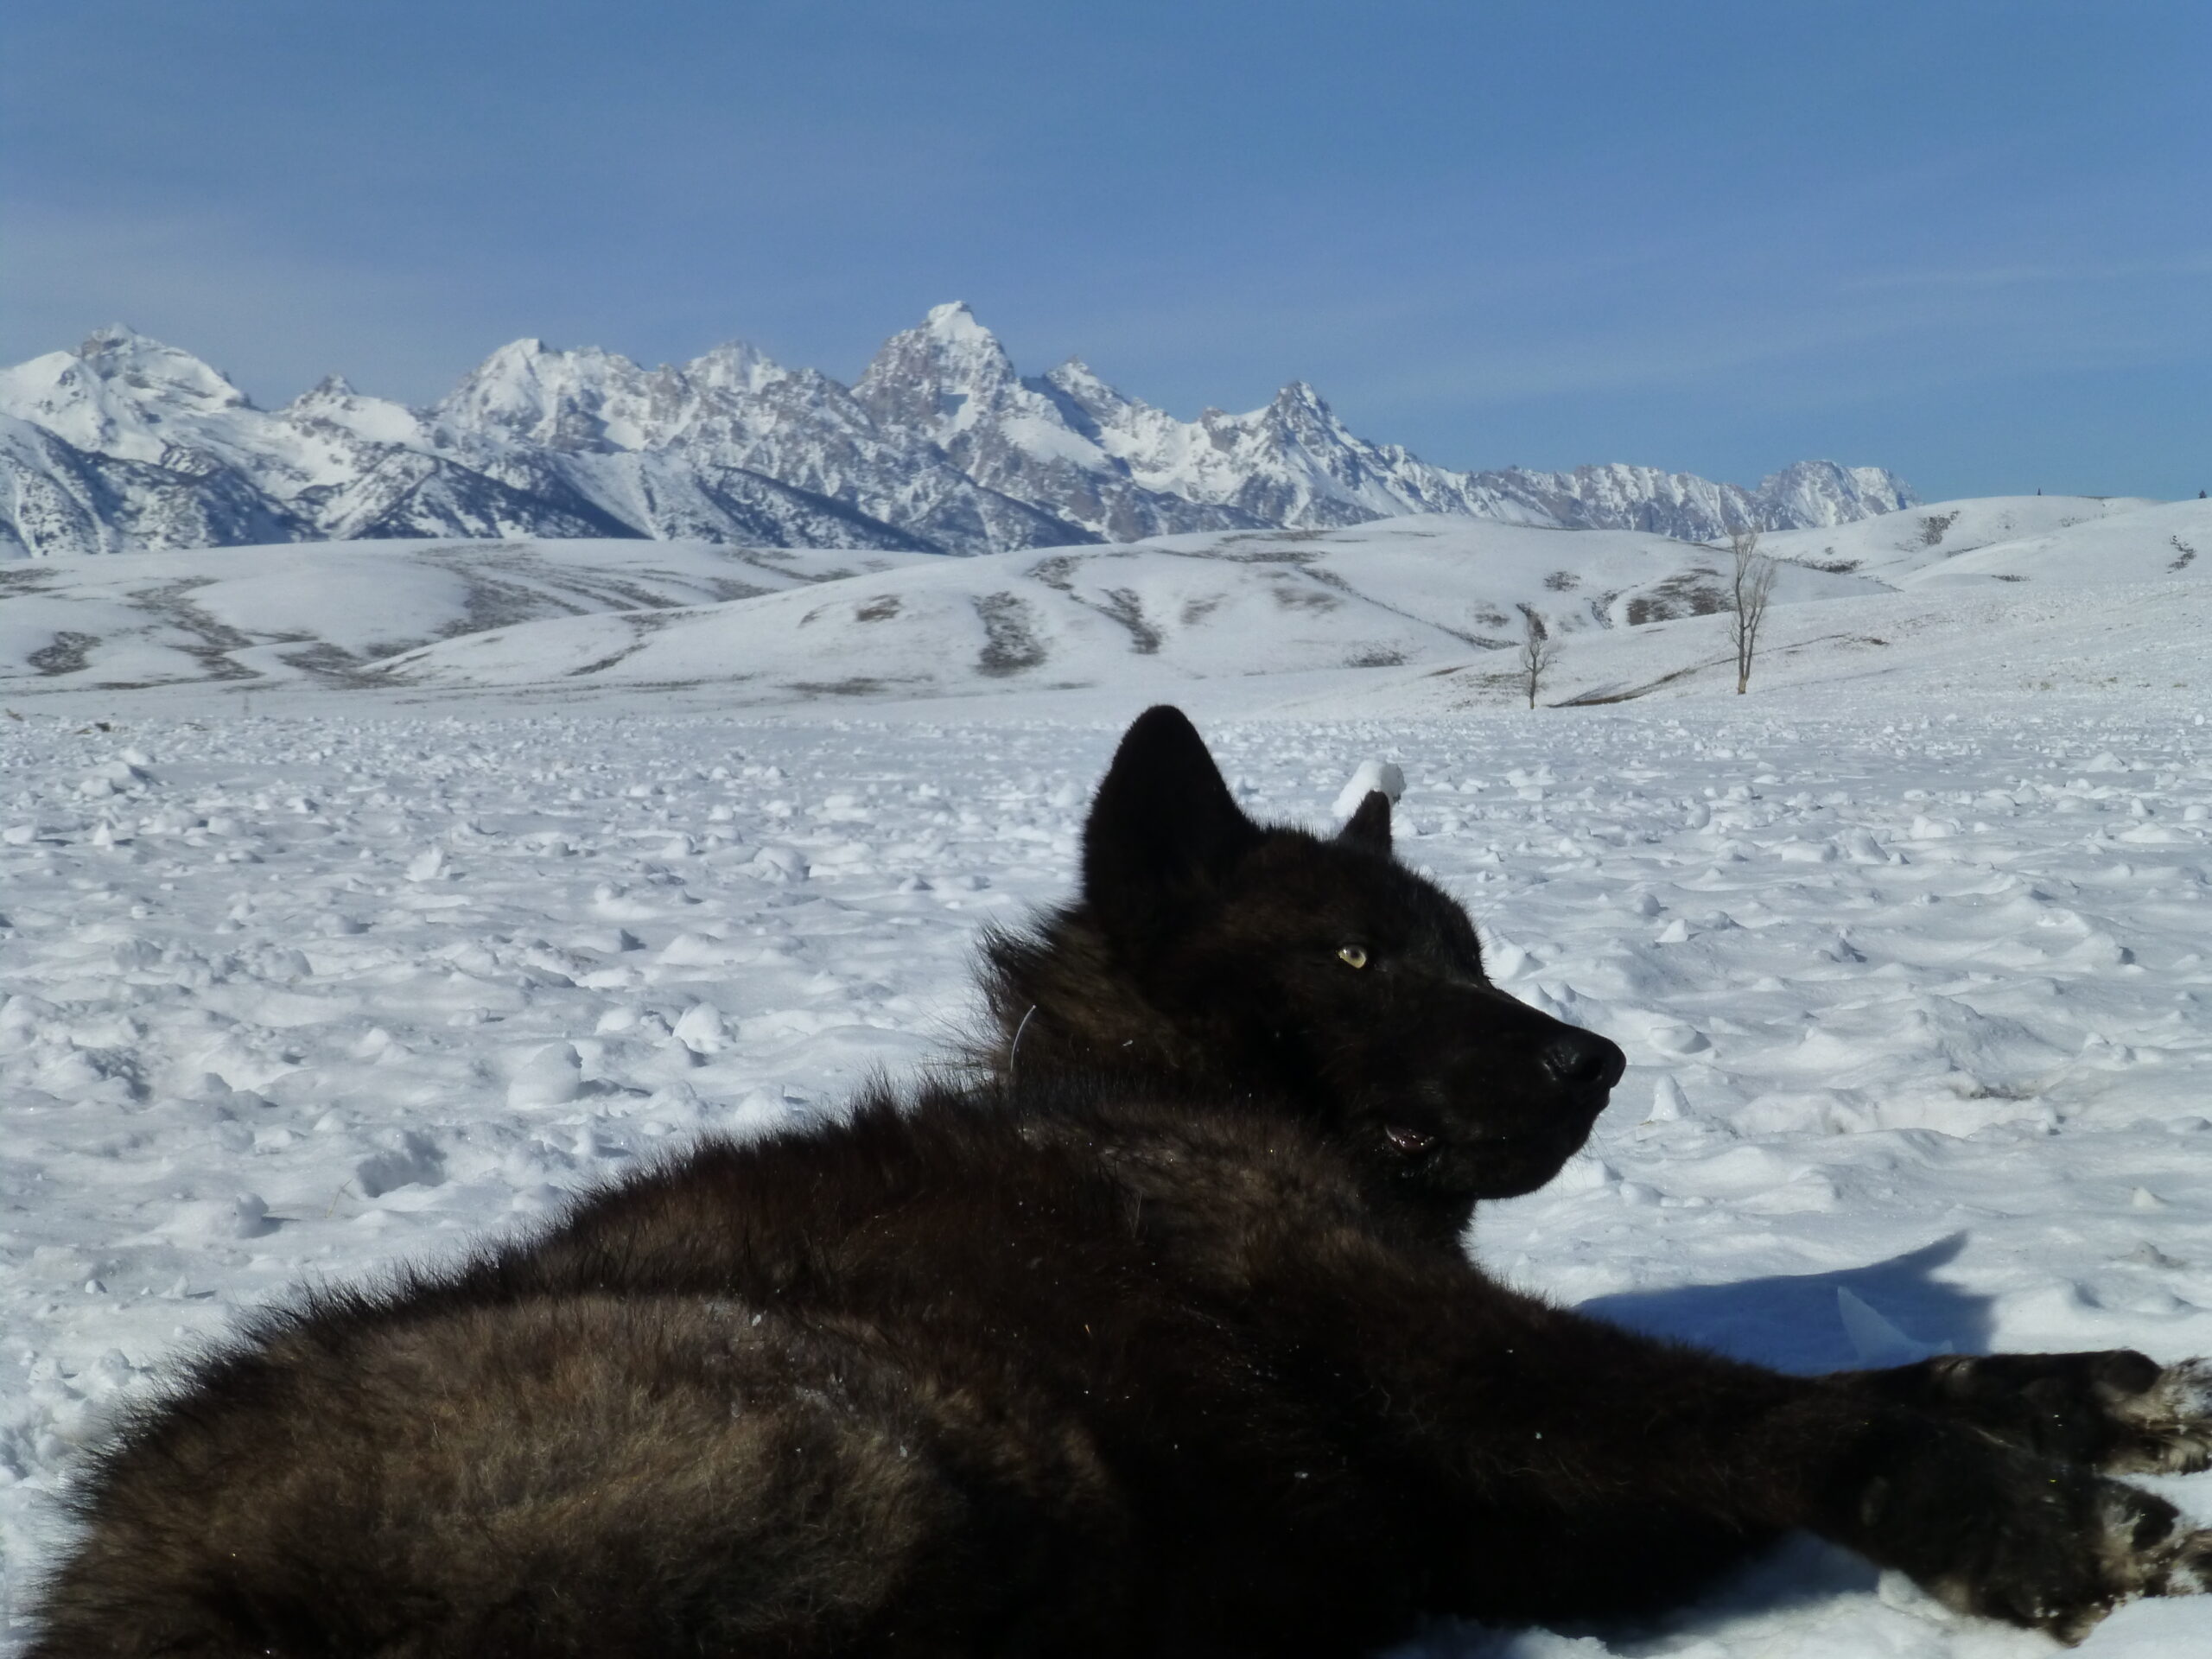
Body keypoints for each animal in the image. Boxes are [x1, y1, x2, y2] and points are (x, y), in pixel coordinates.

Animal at [29, 705, 2212, 1656]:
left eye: (1462, 943)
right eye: (1356, 957)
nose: (1592, 1058)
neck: (1165, 1094)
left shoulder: (1501, 1500)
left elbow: (1868, 1380)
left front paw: (2108, 1391)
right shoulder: (1456, 1387)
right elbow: (1814, 1416)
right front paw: (2046, 1527)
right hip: (844, 1441)